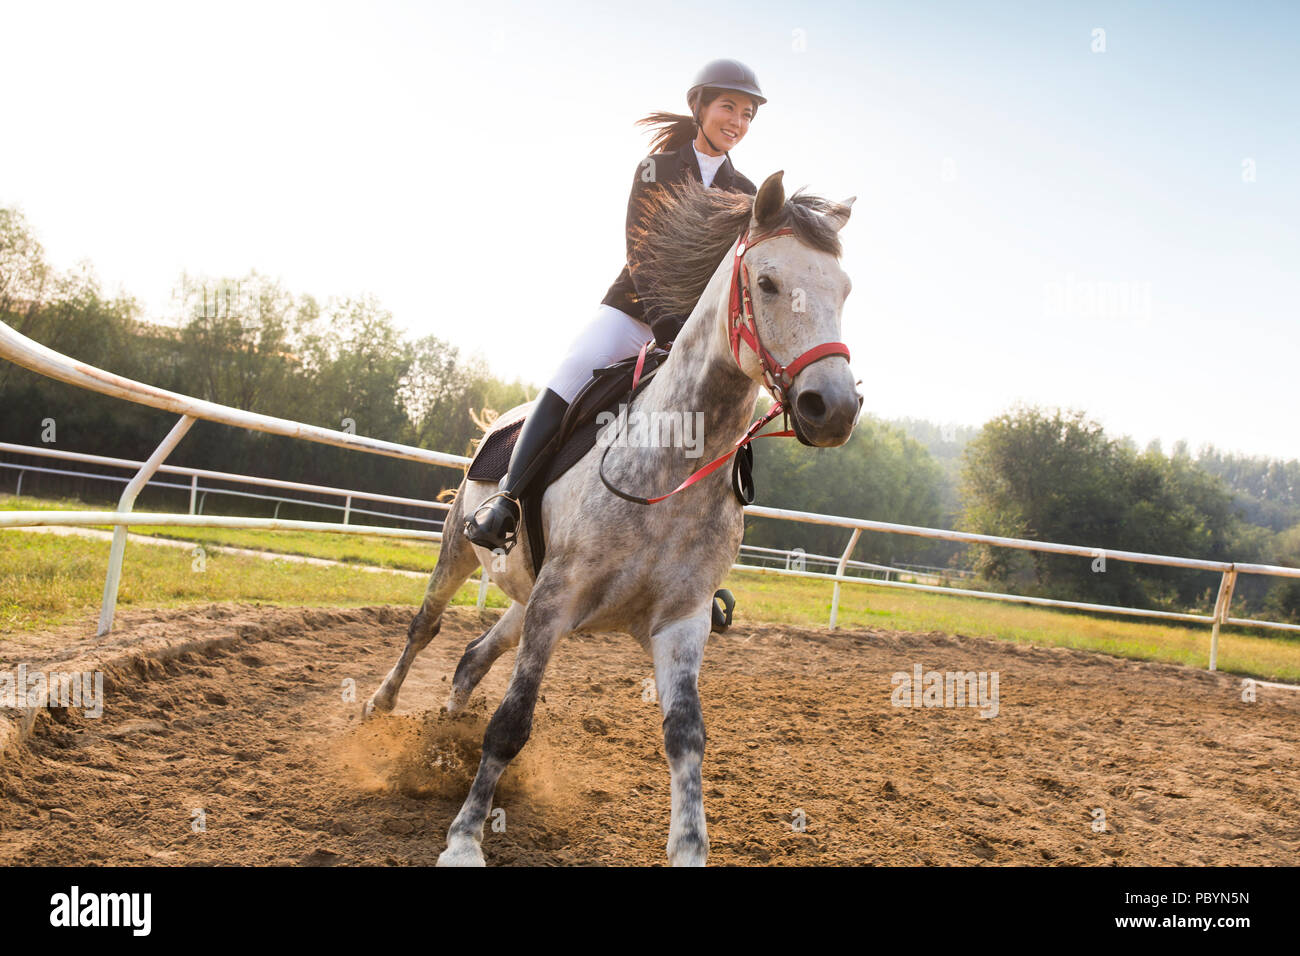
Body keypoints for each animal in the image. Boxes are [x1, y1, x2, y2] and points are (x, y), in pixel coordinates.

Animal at [364, 169, 860, 866]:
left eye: (844, 290)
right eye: (767, 282)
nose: (834, 408)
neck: (674, 466)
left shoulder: (678, 622)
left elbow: (686, 737)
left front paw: (689, 849)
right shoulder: (556, 602)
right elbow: (511, 723)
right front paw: (463, 841)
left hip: (526, 599)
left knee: (471, 657)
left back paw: (443, 738)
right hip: (463, 557)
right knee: (425, 628)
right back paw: (381, 708)